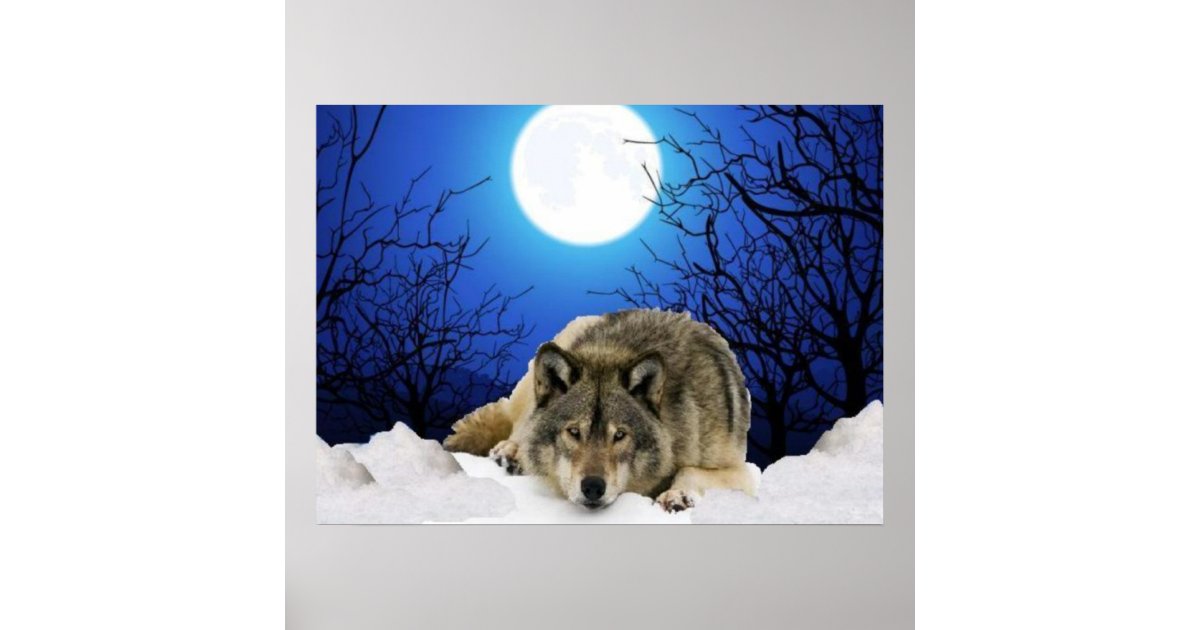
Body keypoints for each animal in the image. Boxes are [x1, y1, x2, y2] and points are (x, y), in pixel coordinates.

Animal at [443, 309, 755, 512]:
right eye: (573, 432)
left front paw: (676, 494)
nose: (593, 487)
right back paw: (511, 453)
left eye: (619, 435)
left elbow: (690, 470)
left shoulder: (742, 472)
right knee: (520, 423)